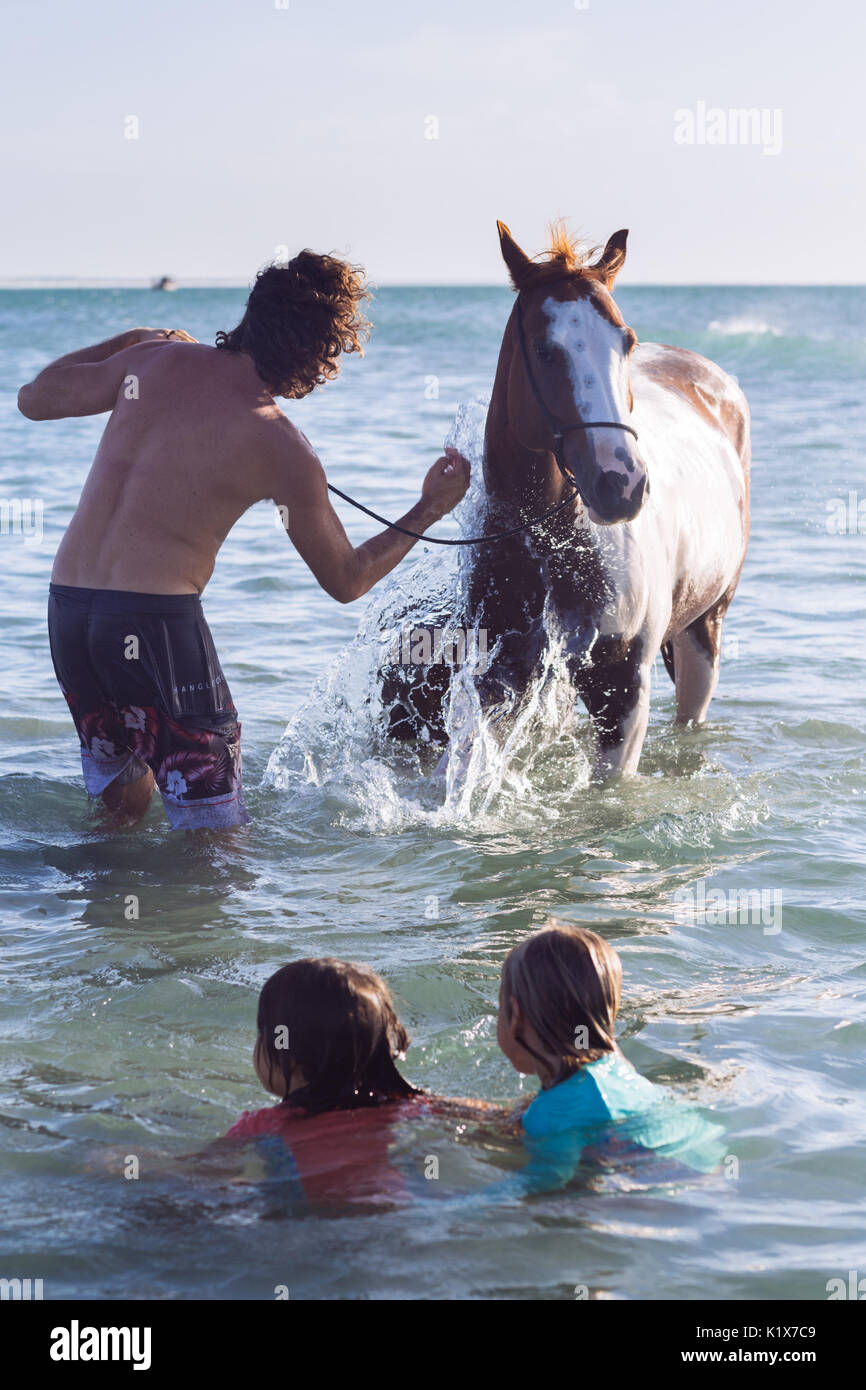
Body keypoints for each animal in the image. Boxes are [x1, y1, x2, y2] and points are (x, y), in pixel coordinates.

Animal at [381, 221, 750, 778]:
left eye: (625, 342)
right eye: (544, 349)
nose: (621, 483)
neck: (555, 546)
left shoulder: (623, 690)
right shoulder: (499, 681)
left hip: (705, 631)